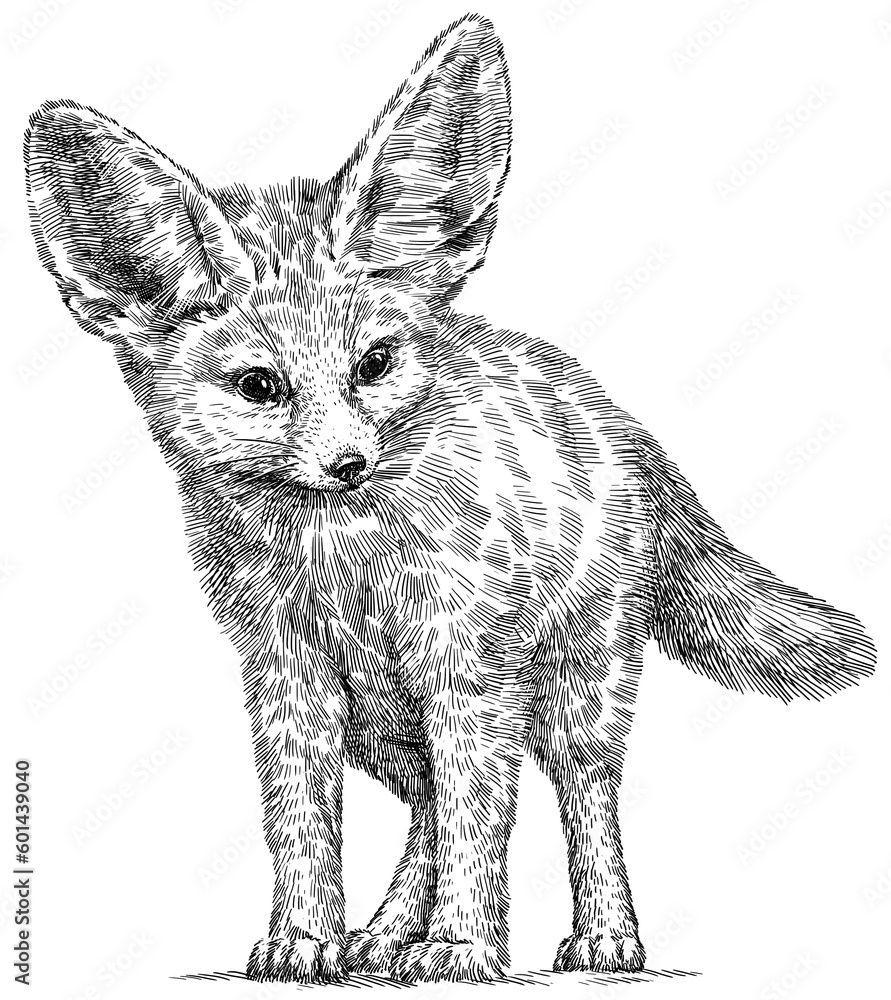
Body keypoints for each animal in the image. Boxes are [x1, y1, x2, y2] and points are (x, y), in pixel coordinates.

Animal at [25, 12, 875, 986]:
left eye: (375, 364)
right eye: (260, 386)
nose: (347, 463)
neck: (347, 564)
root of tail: (623, 423)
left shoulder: (466, 665)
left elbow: (482, 818)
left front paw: (465, 945)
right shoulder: (286, 675)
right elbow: (303, 826)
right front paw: (305, 939)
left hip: (575, 689)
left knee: (579, 793)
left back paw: (600, 936)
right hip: (381, 728)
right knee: (426, 811)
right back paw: (385, 935)